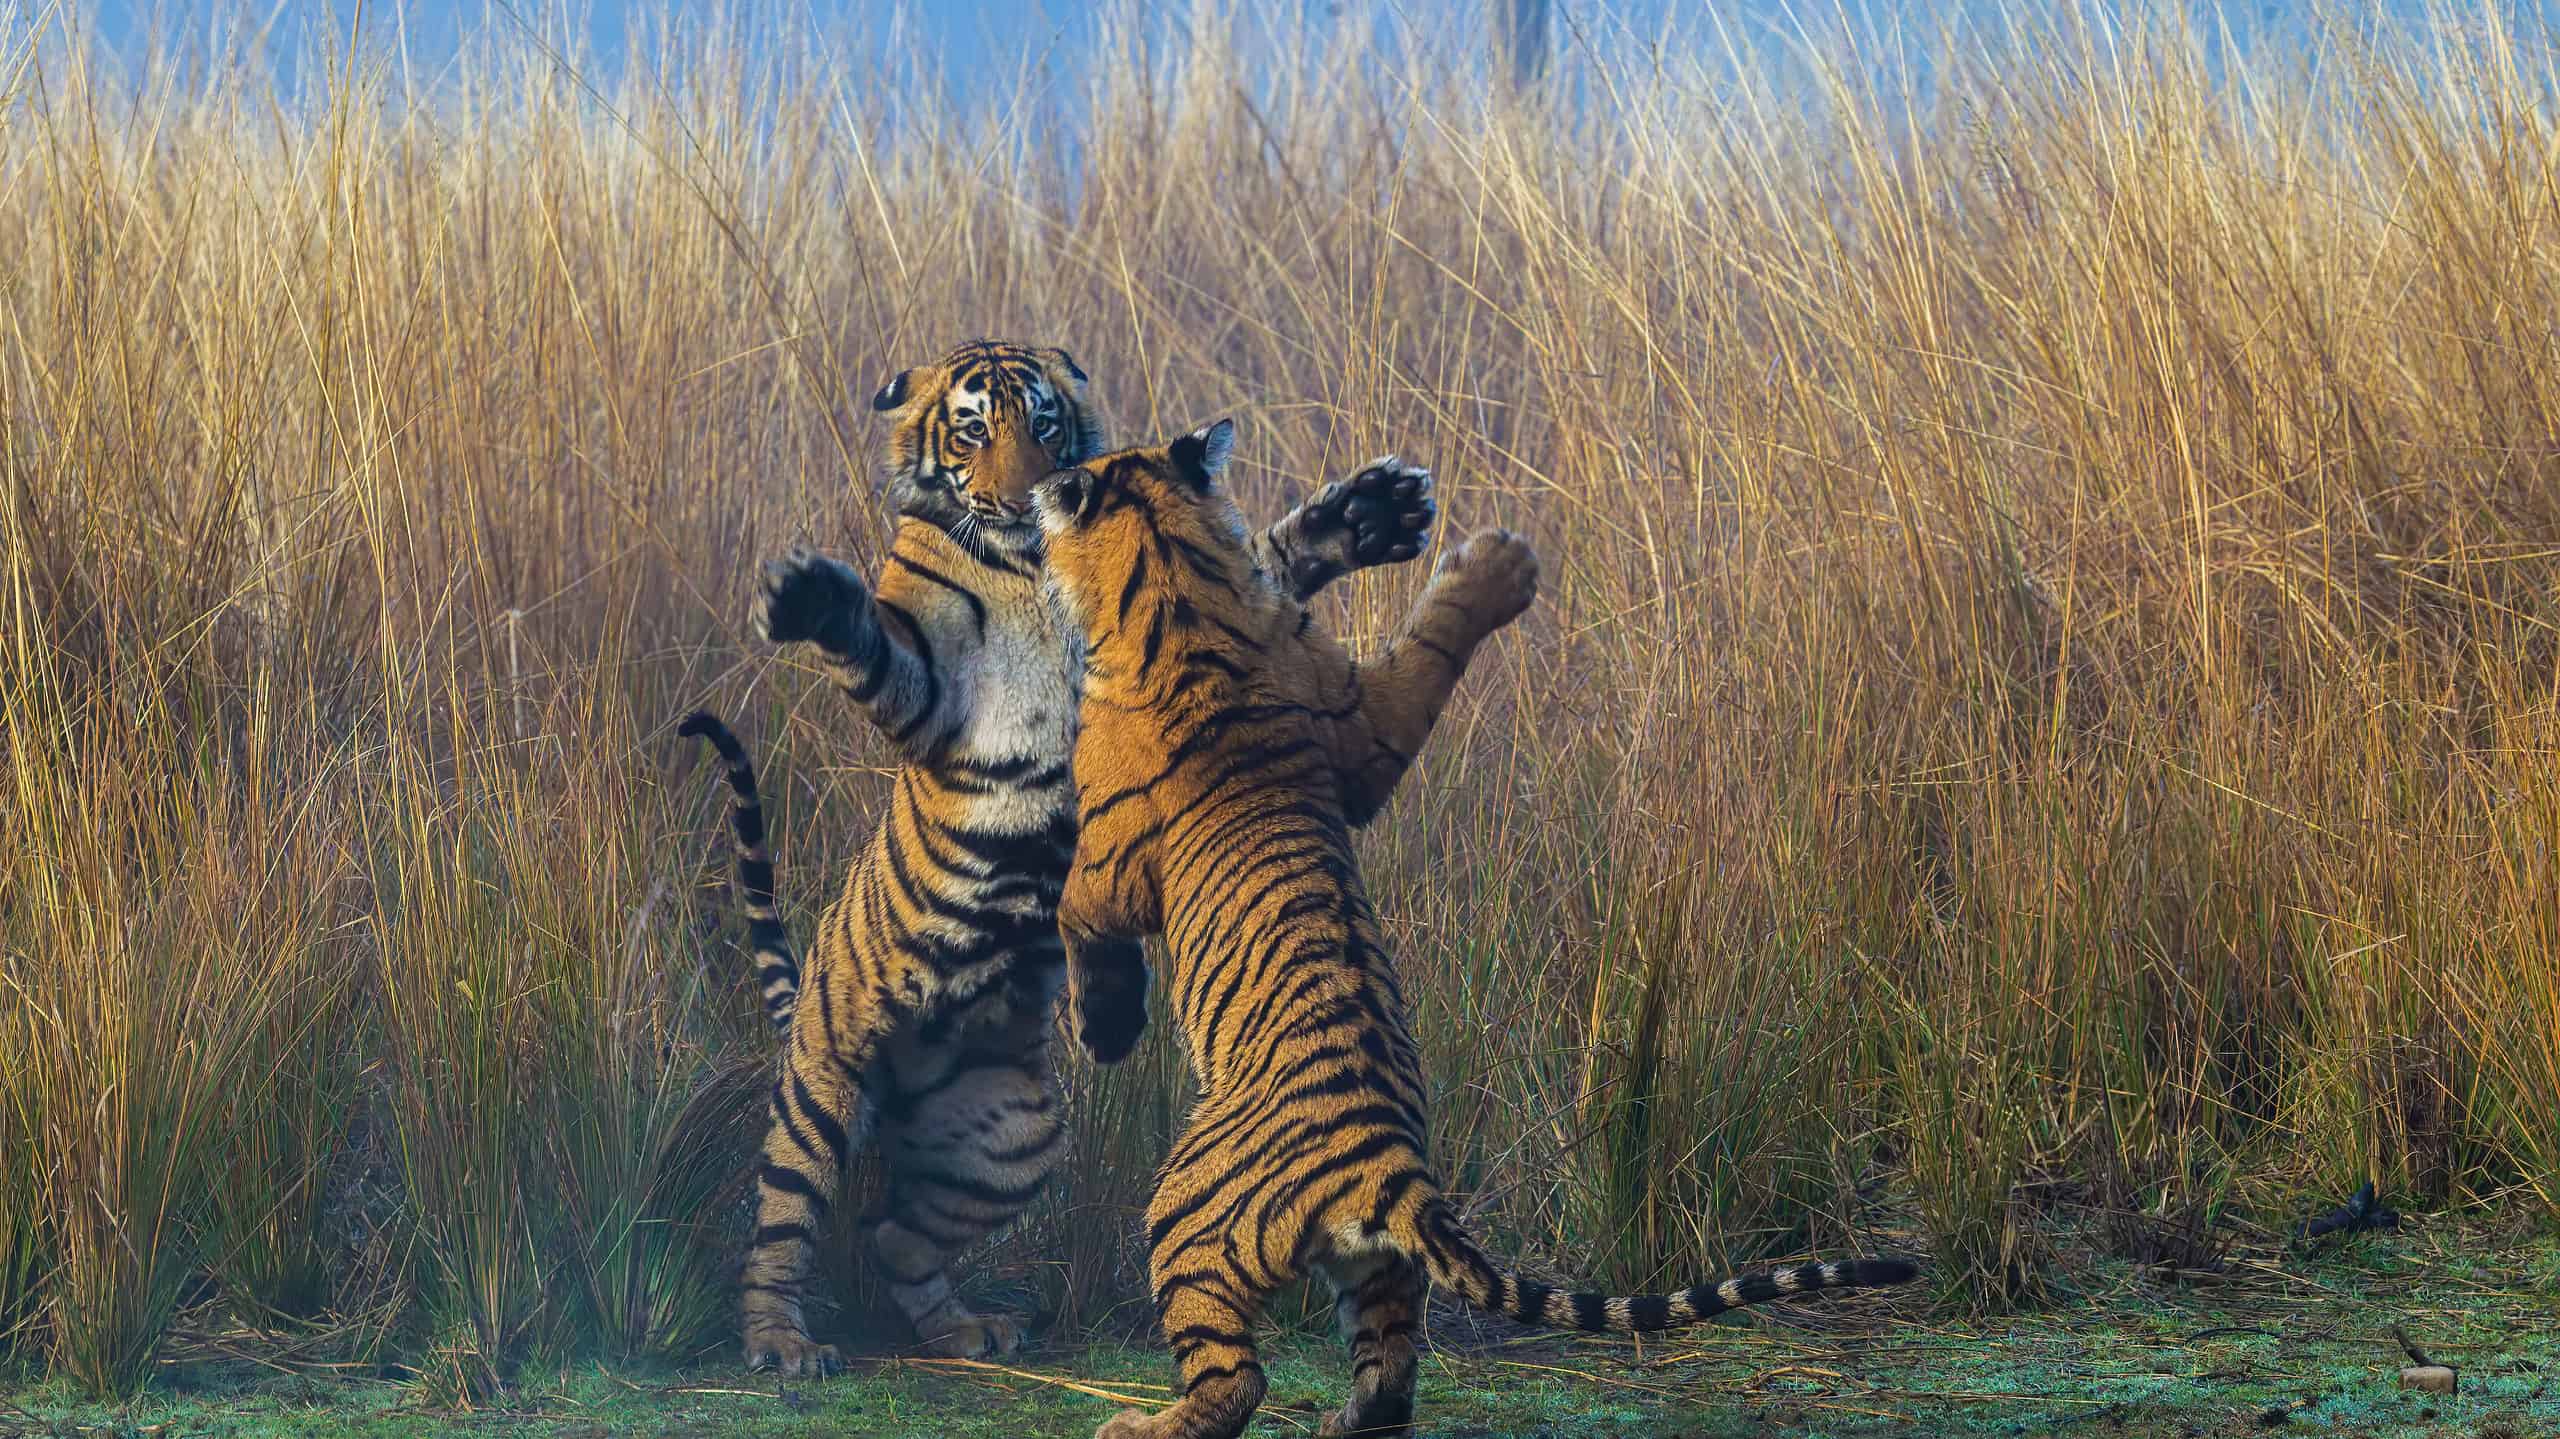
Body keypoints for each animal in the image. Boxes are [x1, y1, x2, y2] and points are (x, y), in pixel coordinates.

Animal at [684, 339, 1462, 1376]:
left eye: (1045, 425)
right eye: (972, 429)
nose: (1028, 498)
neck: (1027, 564)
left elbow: (1264, 556)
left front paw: (1374, 512)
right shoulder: (931, 692)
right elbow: (880, 654)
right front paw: (811, 597)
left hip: (1009, 1136)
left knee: (895, 1234)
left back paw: (967, 1330)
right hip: (824, 1078)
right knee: (780, 1222)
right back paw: (781, 1341)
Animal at [1032, 420, 1922, 1439]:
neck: (1184, 585)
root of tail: (1386, 1164)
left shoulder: (1109, 857)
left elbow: (1079, 916)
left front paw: (1103, 1029)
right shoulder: (1358, 723)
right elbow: (1418, 640)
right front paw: (1478, 560)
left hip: (1185, 1216)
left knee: (1235, 1378)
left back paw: (1138, 1423)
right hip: (1375, 1268)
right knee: (1389, 1367)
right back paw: (1346, 1419)